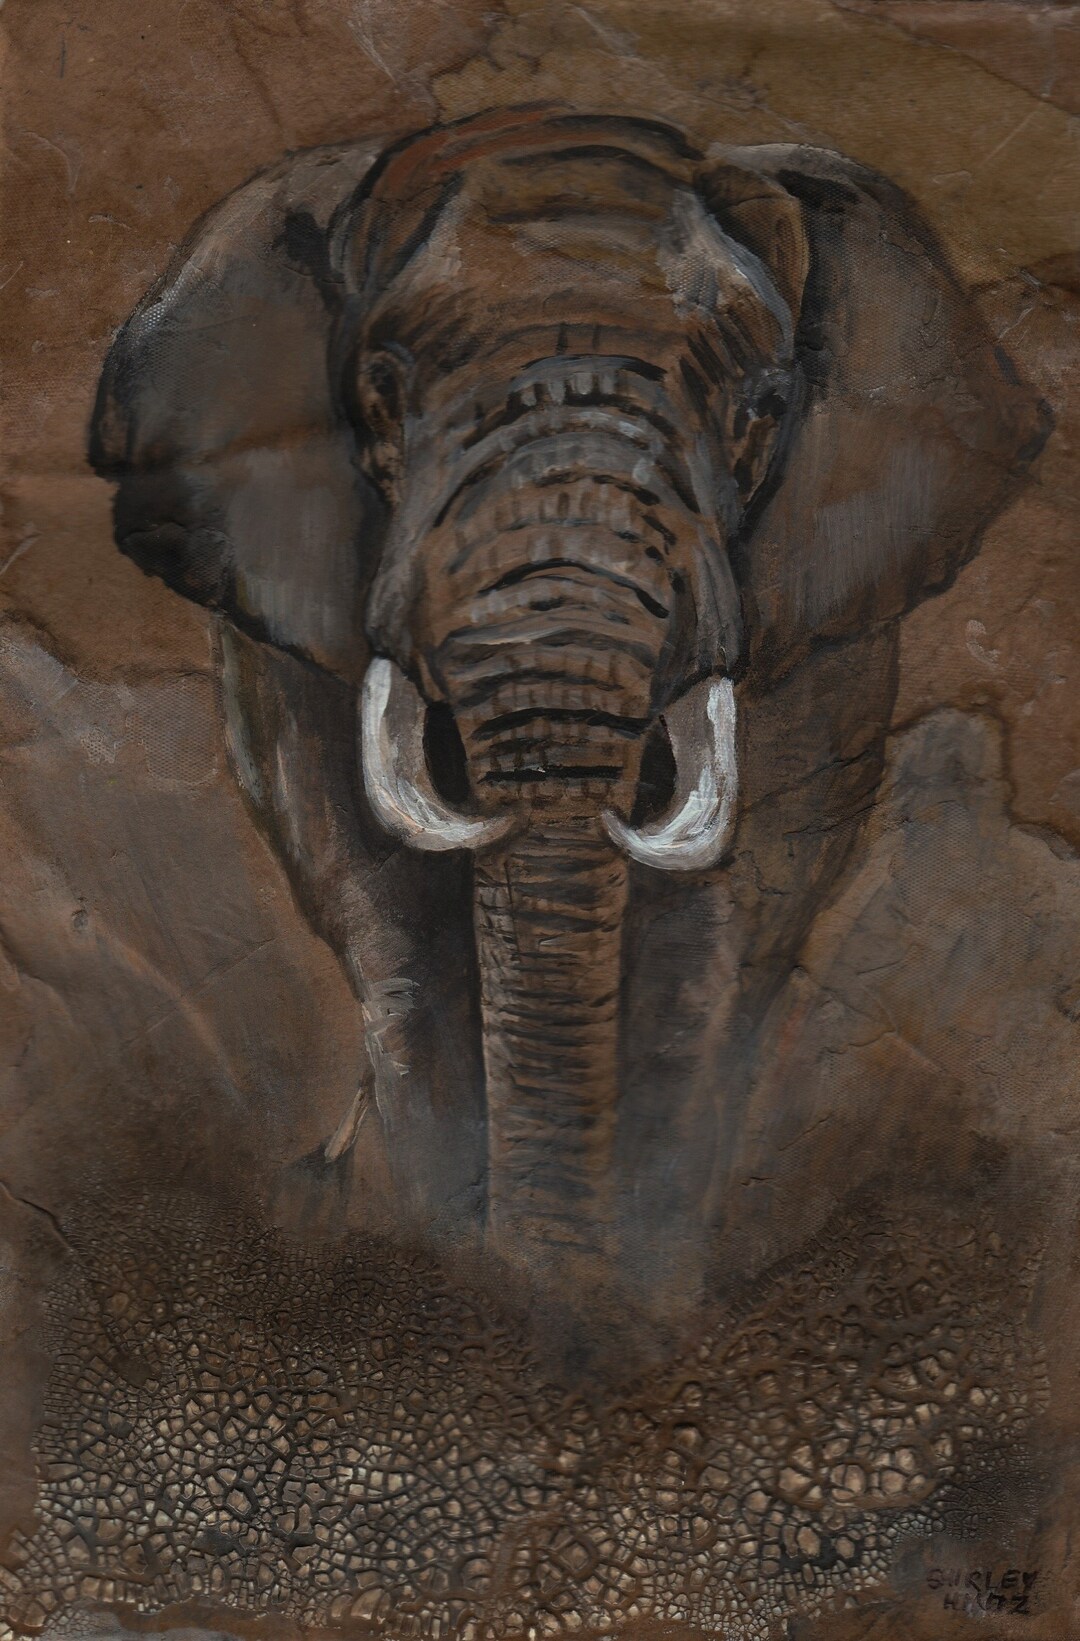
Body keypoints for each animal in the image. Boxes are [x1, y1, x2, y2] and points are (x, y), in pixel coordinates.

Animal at [89, 105, 1046, 1310]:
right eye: (382, 388)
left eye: (764, 408)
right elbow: (372, 883)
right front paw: (457, 1288)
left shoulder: (823, 606)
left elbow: (737, 902)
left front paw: (637, 1306)